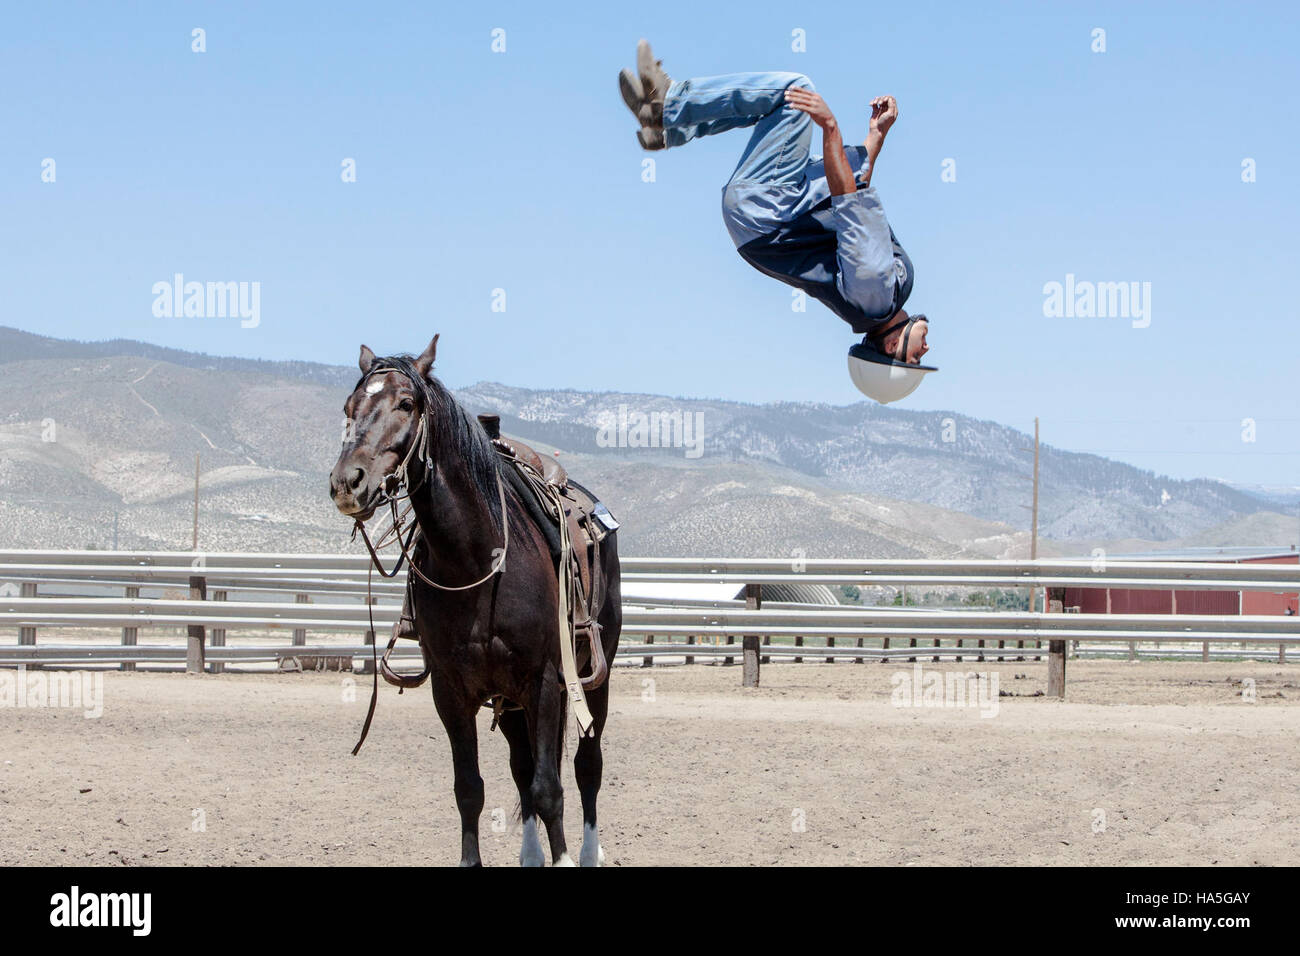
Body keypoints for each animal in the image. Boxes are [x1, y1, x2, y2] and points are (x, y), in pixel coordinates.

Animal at [328, 335, 622, 866]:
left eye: (406, 403)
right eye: (349, 407)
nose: (348, 482)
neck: (476, 562)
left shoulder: (544, 681)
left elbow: (550, 789)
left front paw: (565, 857)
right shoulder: (452, 691)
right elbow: (472, 788)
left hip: (594, 676)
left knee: (586, 765)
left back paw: (589, 852)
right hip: (508, 701)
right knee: (522, 767)